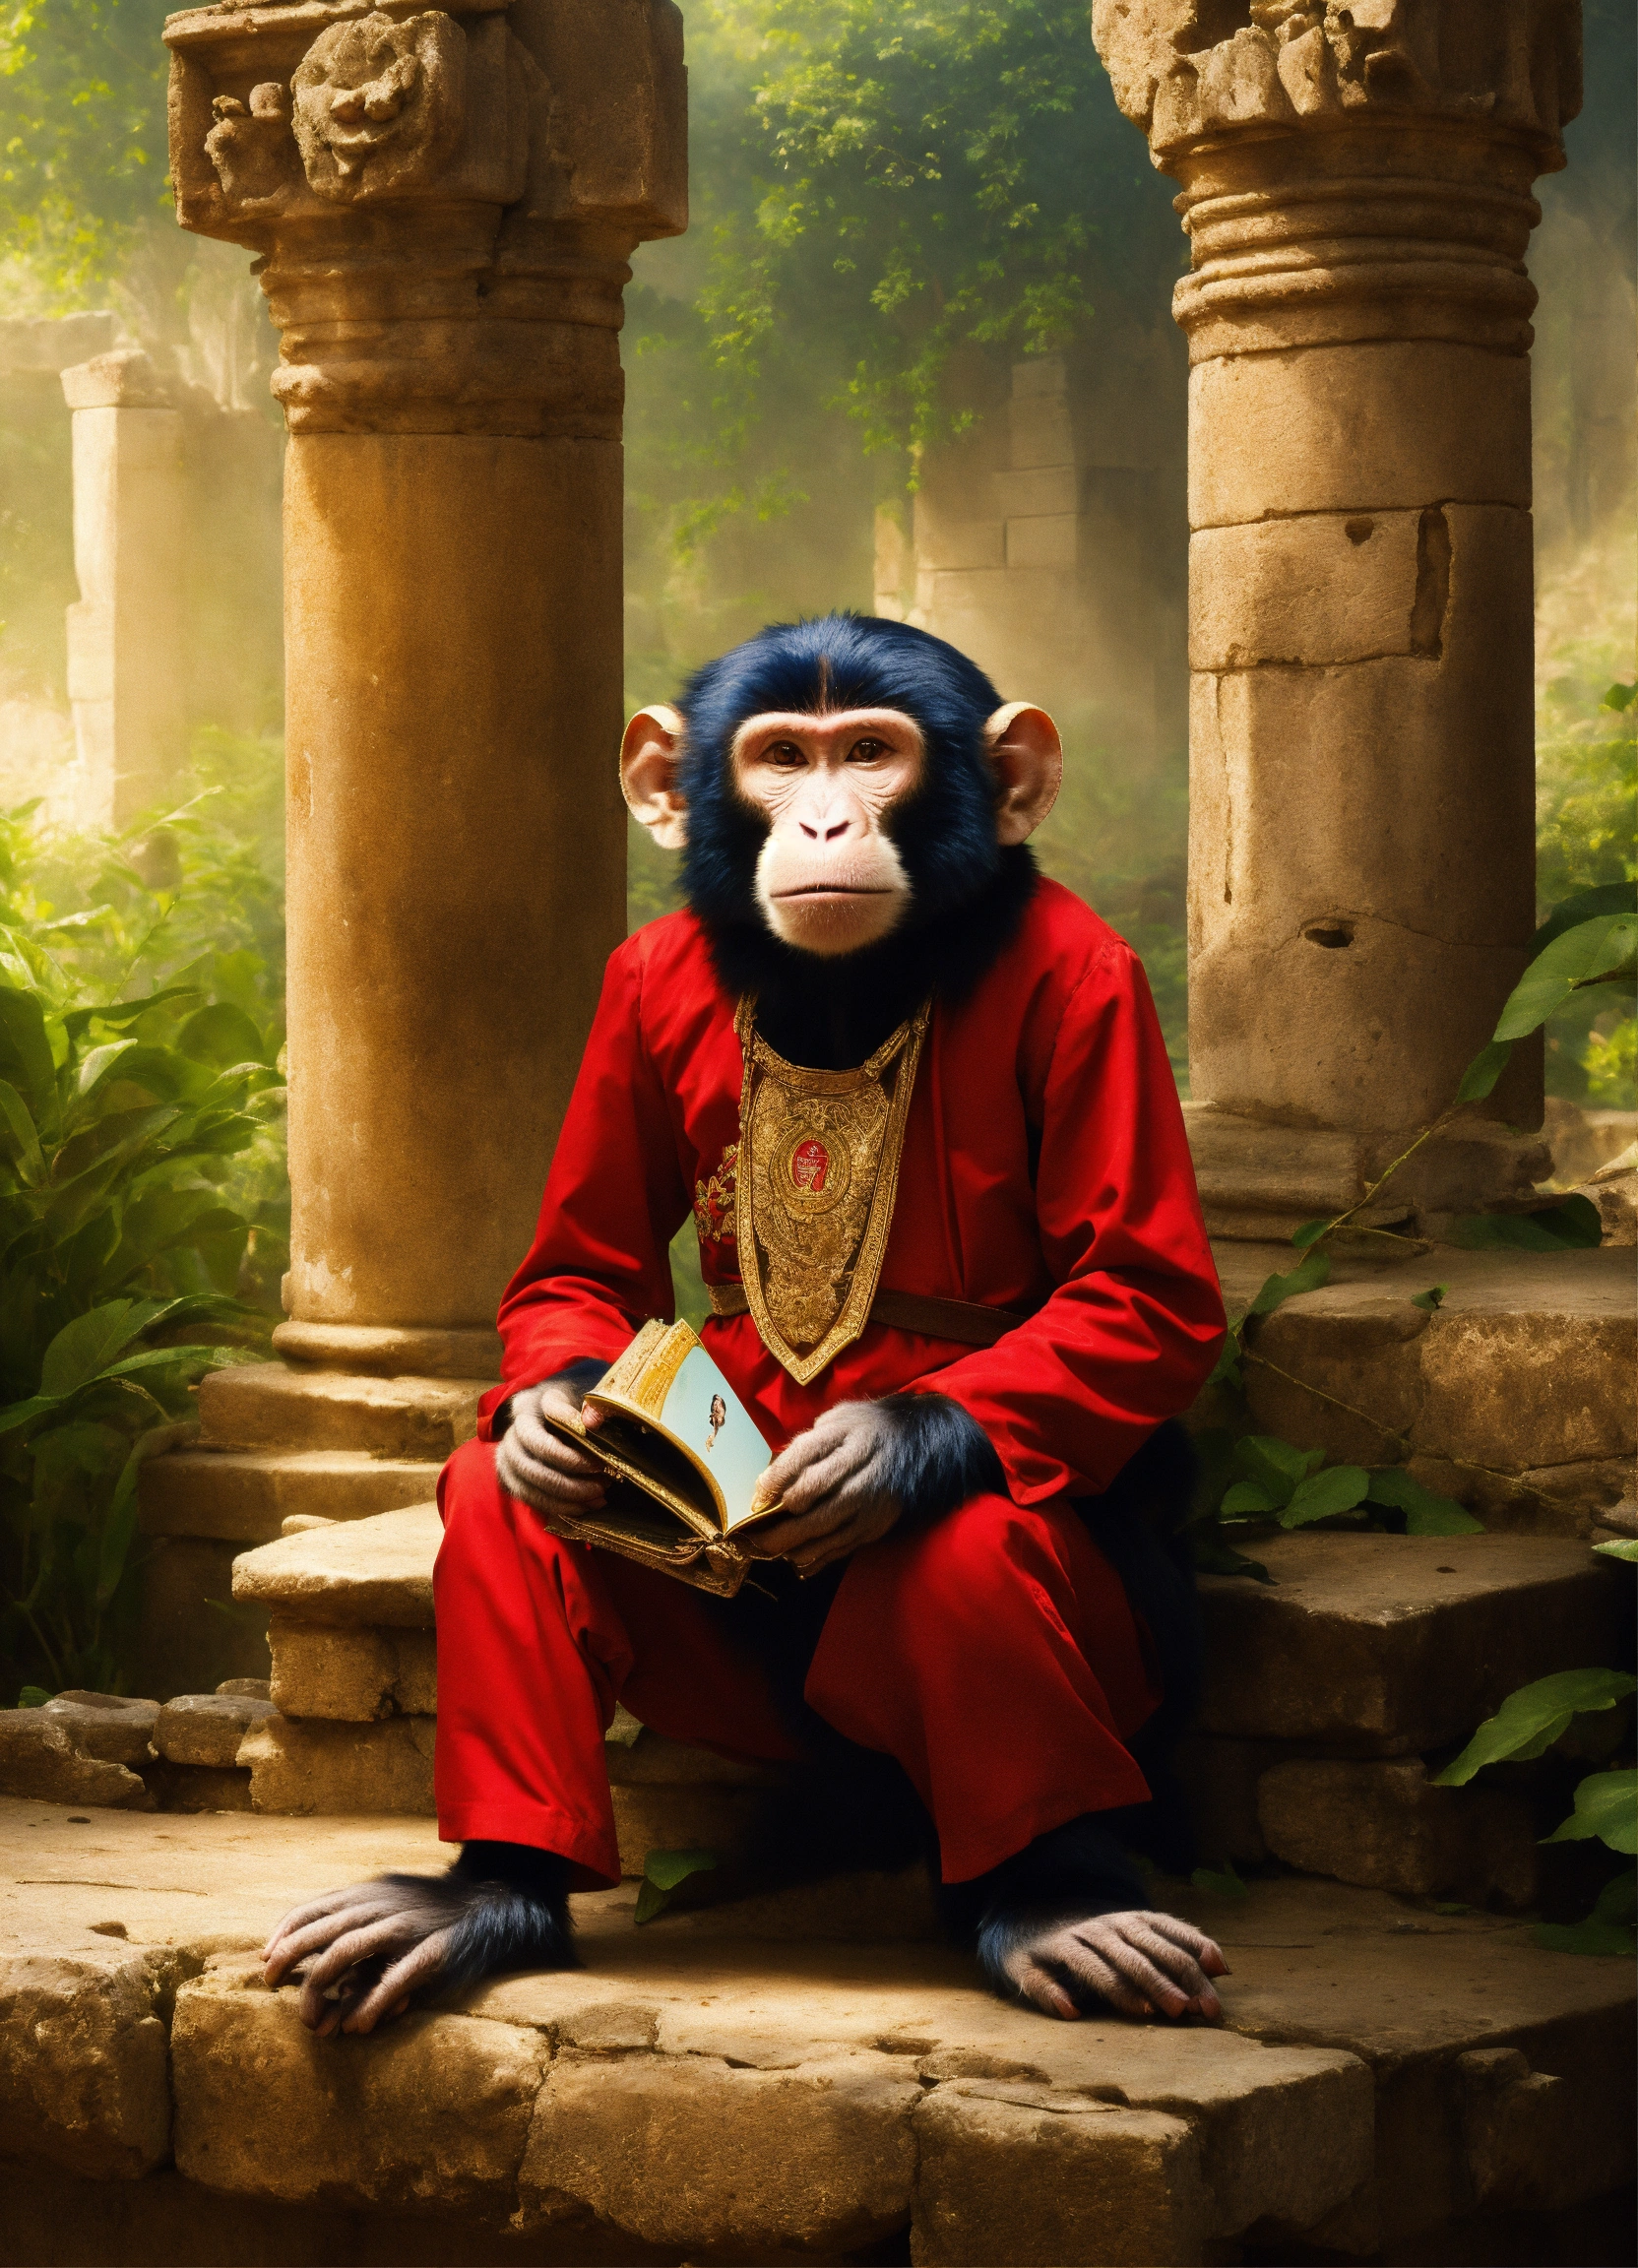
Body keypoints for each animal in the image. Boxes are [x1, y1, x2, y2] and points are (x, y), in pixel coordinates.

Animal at [261, 614, 1229, 2037]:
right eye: (781, 758)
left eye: (871, 754)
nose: (825, 820)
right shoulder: (627, 989)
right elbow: (576, 1264)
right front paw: (553, 1417)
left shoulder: (1095, 983)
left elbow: (1139, 1289)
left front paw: (879, 1448)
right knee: (504, 1502)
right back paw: (486, 1892)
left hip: (1120, 1687)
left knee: (967, 1536)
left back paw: (1060, 1898)